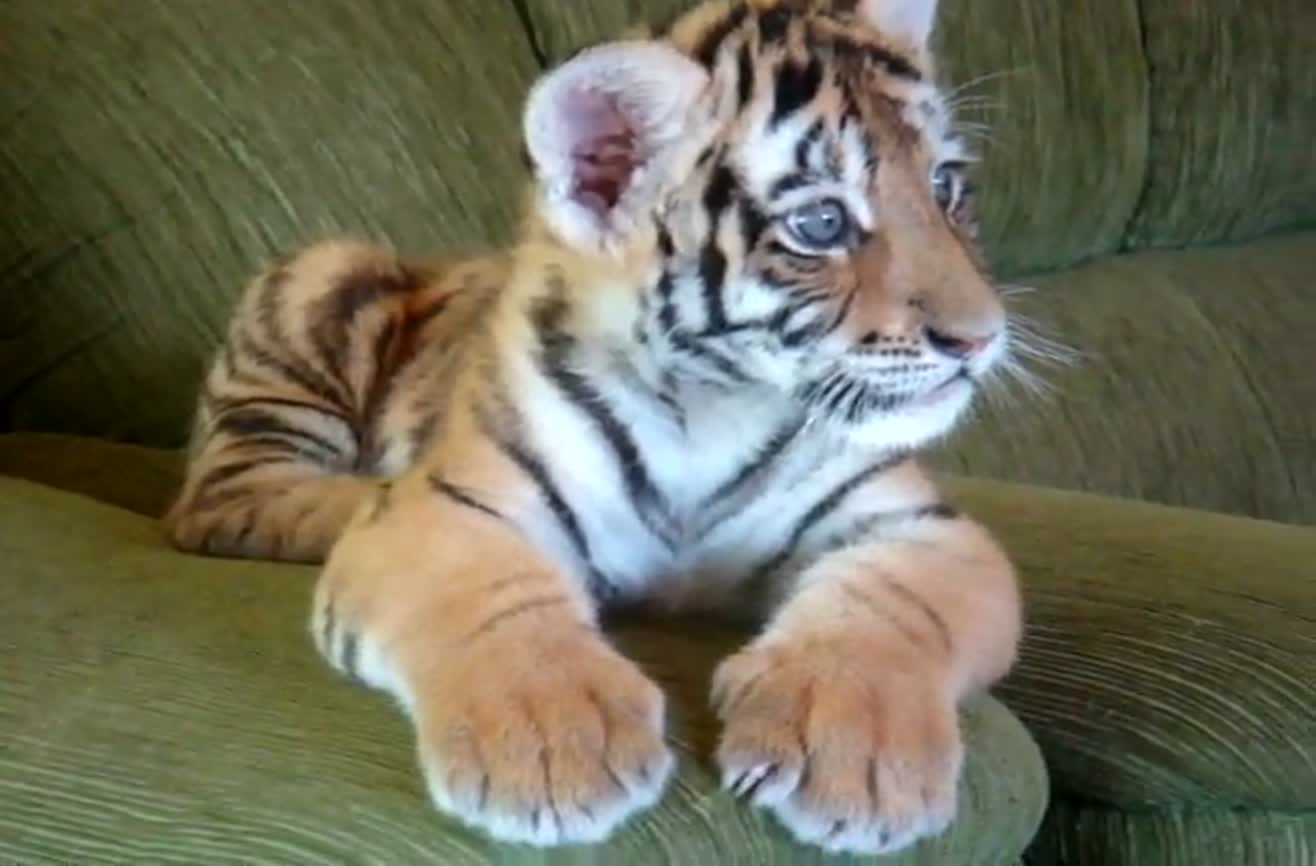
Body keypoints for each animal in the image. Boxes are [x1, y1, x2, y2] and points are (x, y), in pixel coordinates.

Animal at [164, 0, 1023, 855]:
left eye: (947, 185)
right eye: (820, 222)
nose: (982, 339)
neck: (711, 404)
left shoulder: (929, 529)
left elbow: (890, 605)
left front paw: (852, 753)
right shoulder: (442, 512)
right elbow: (492, 594)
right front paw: (553, 746)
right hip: (326, 277)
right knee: (222, 500)